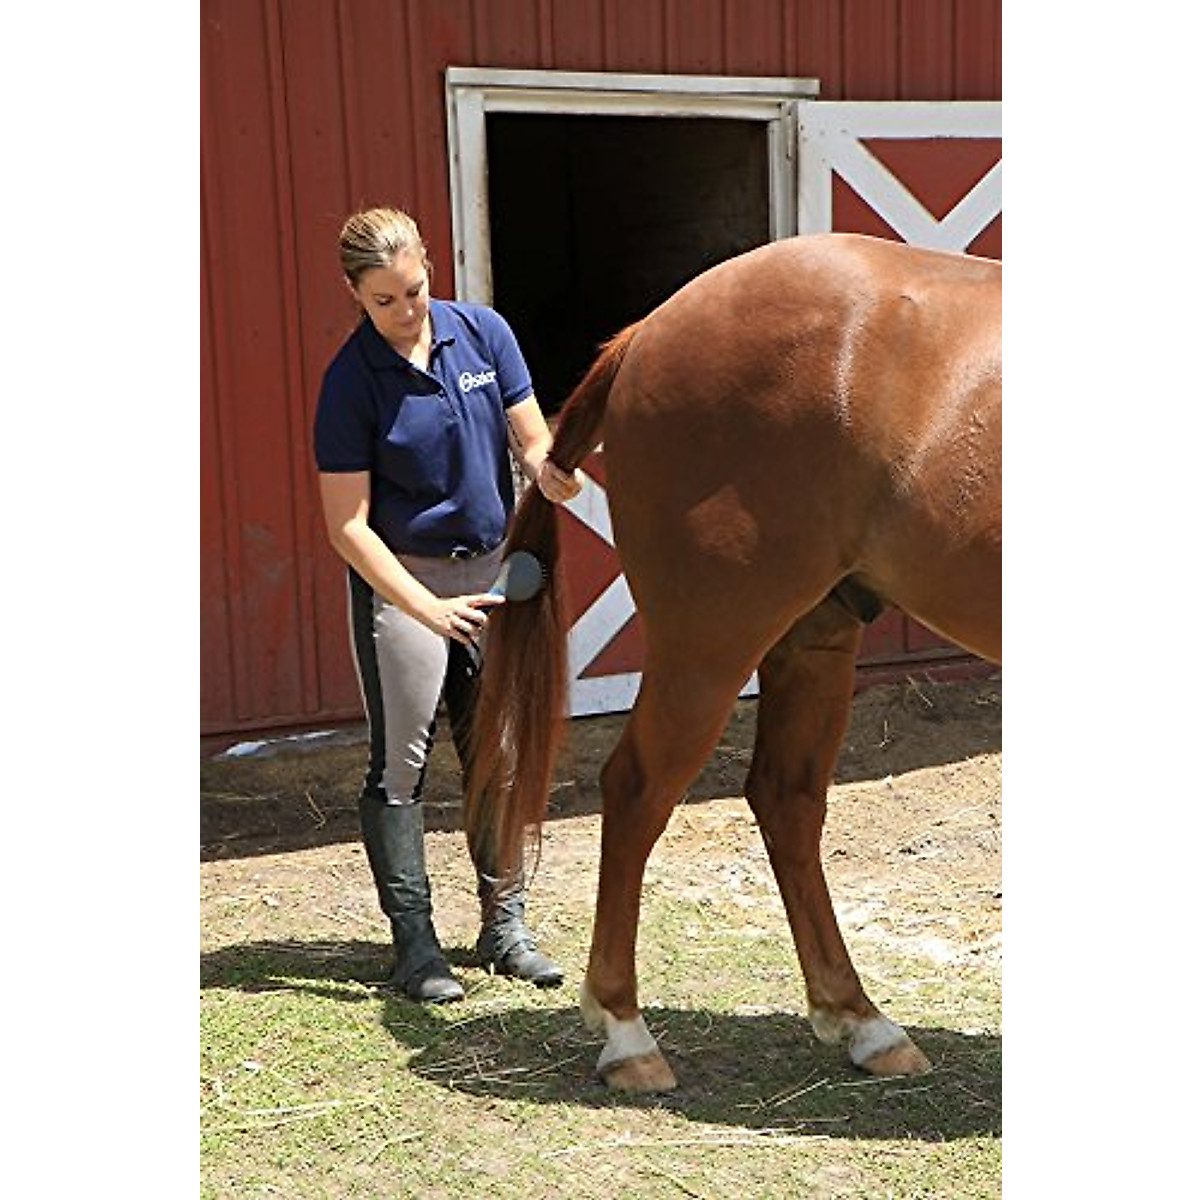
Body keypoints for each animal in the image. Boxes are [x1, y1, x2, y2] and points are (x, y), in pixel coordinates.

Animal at [465, 232, 1000, 1094]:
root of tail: (650, 329)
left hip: (813, 639)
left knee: (786, 801)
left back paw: (860, 1020)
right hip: (710, 642)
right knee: (638, 791)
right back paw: (627, 1034)